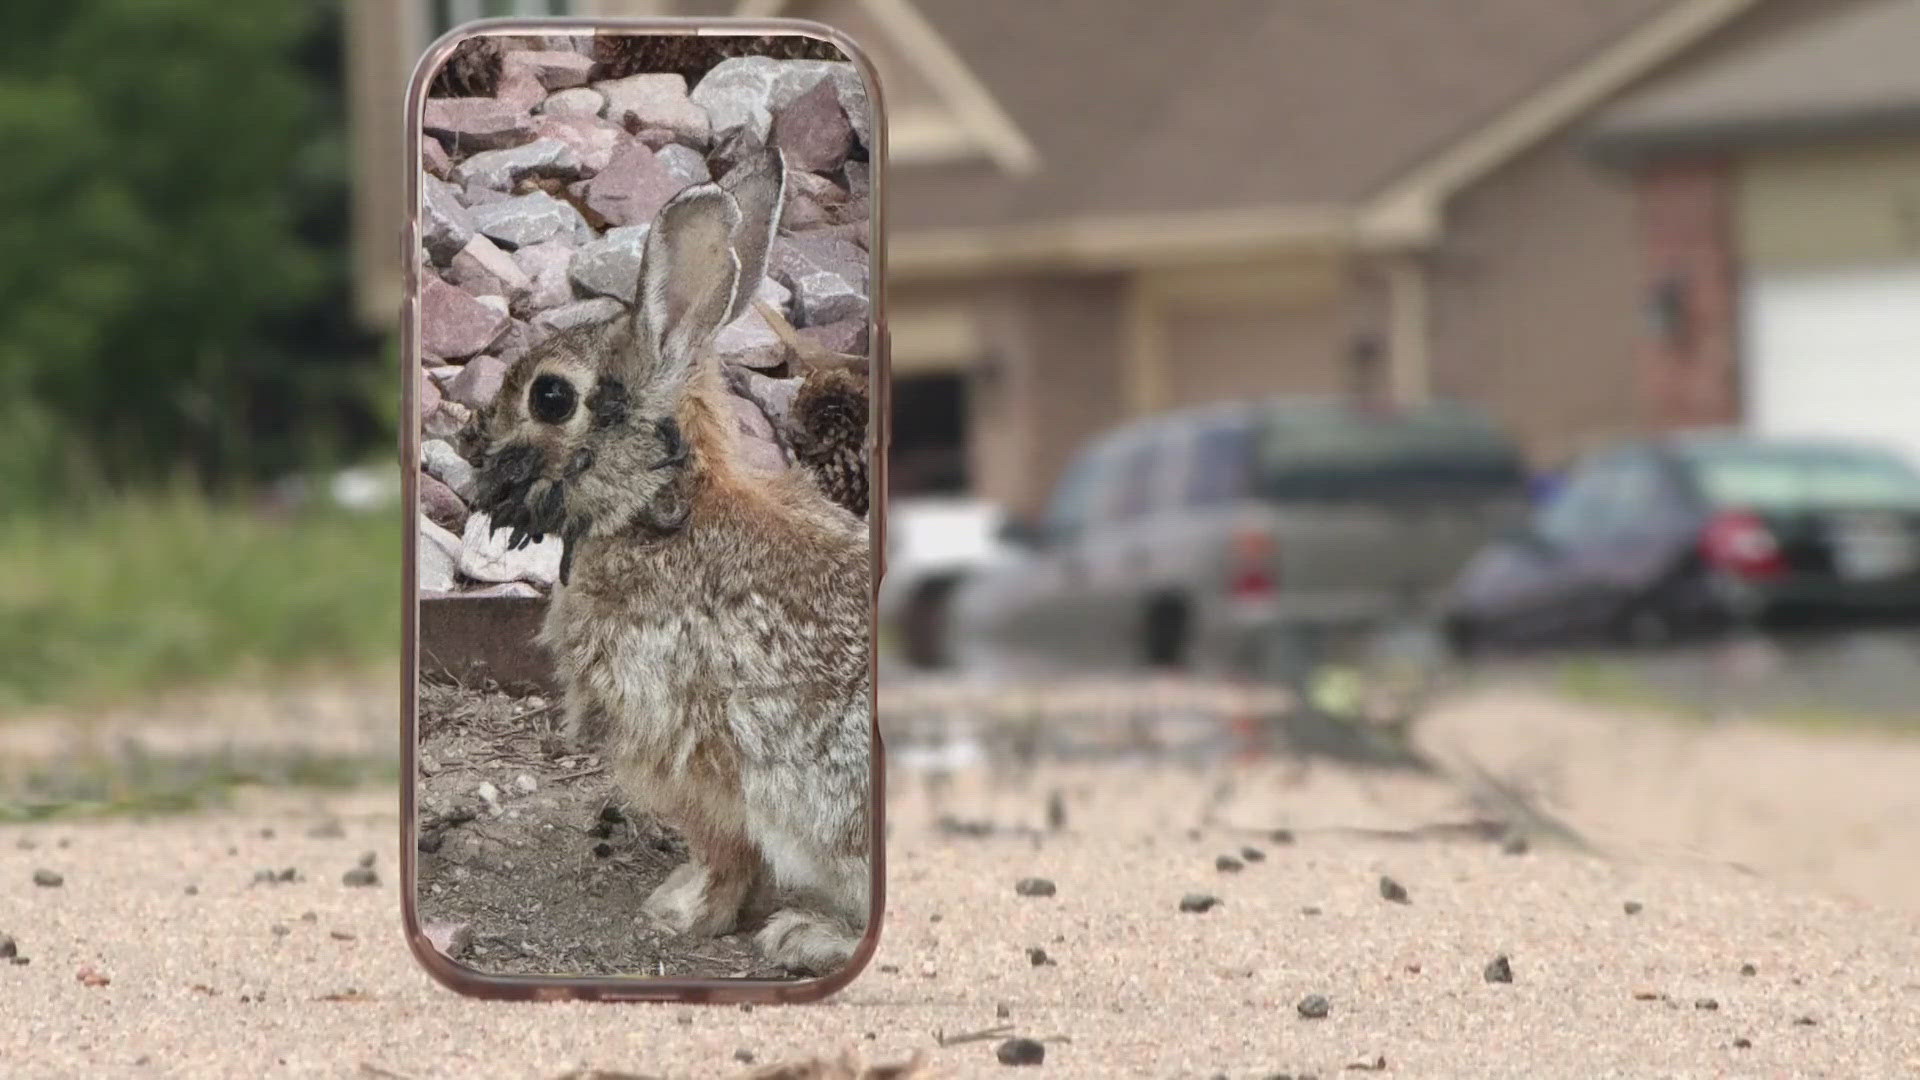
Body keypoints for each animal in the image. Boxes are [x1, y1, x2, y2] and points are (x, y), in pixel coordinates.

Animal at [463, 145, 872, 975]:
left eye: (550, 397)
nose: (472, 442)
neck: (661, 510)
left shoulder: (689, 750)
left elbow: (723, 851)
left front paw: (679, 912)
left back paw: (806, 936)